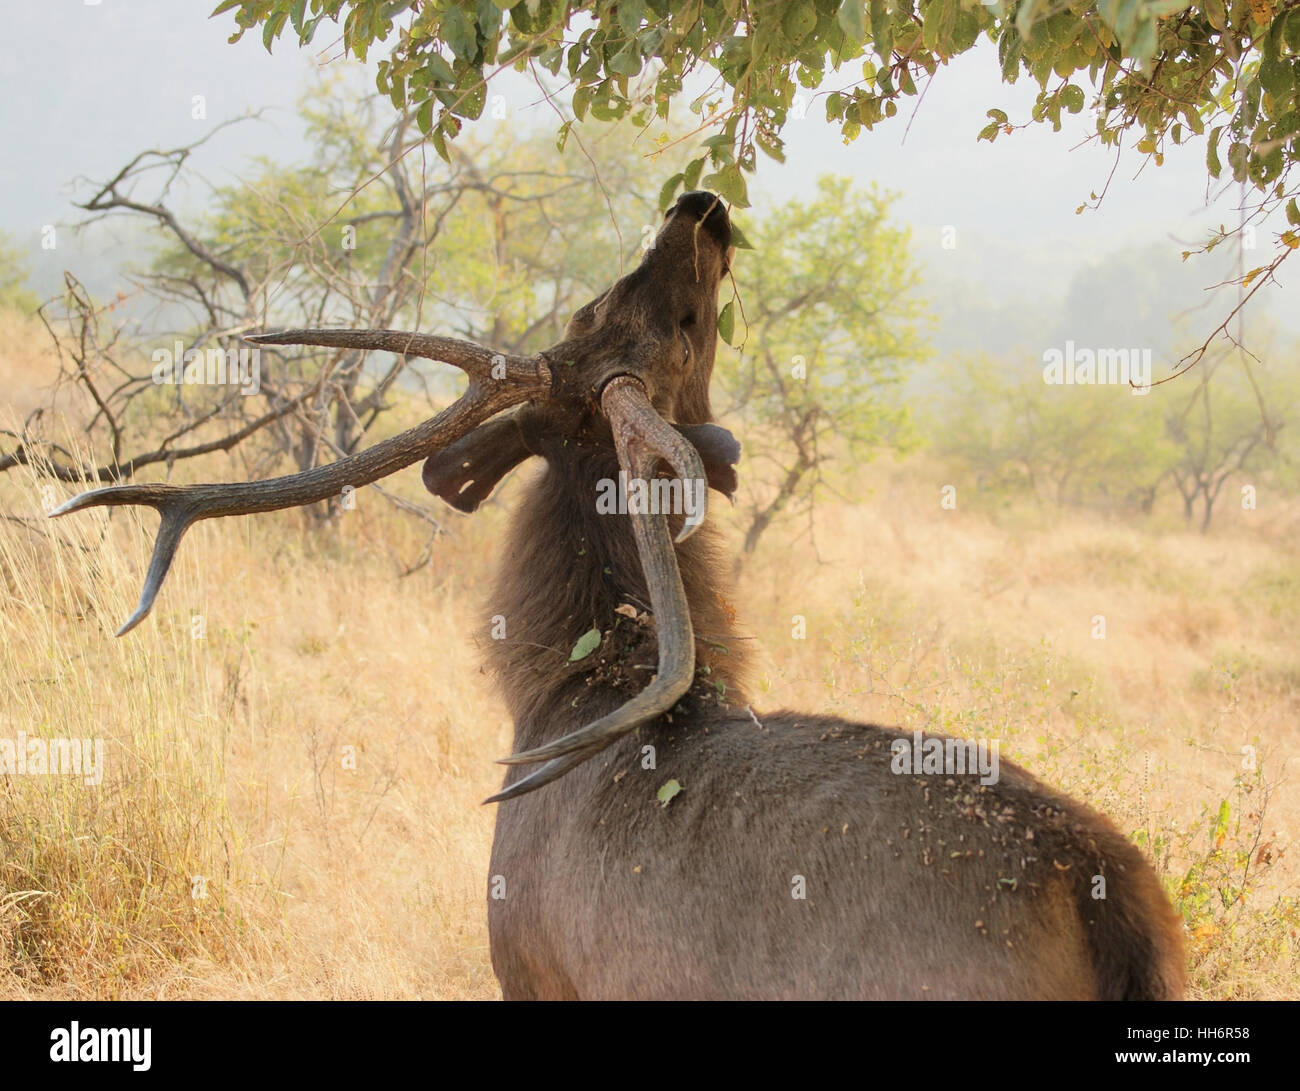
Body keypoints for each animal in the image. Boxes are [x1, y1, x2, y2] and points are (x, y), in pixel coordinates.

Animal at [52, 191, 1185, 1000]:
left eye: (677, 318)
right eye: (600, 302)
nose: (701, 203)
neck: (564, 695)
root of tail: (1108, 893)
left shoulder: (529, 969)